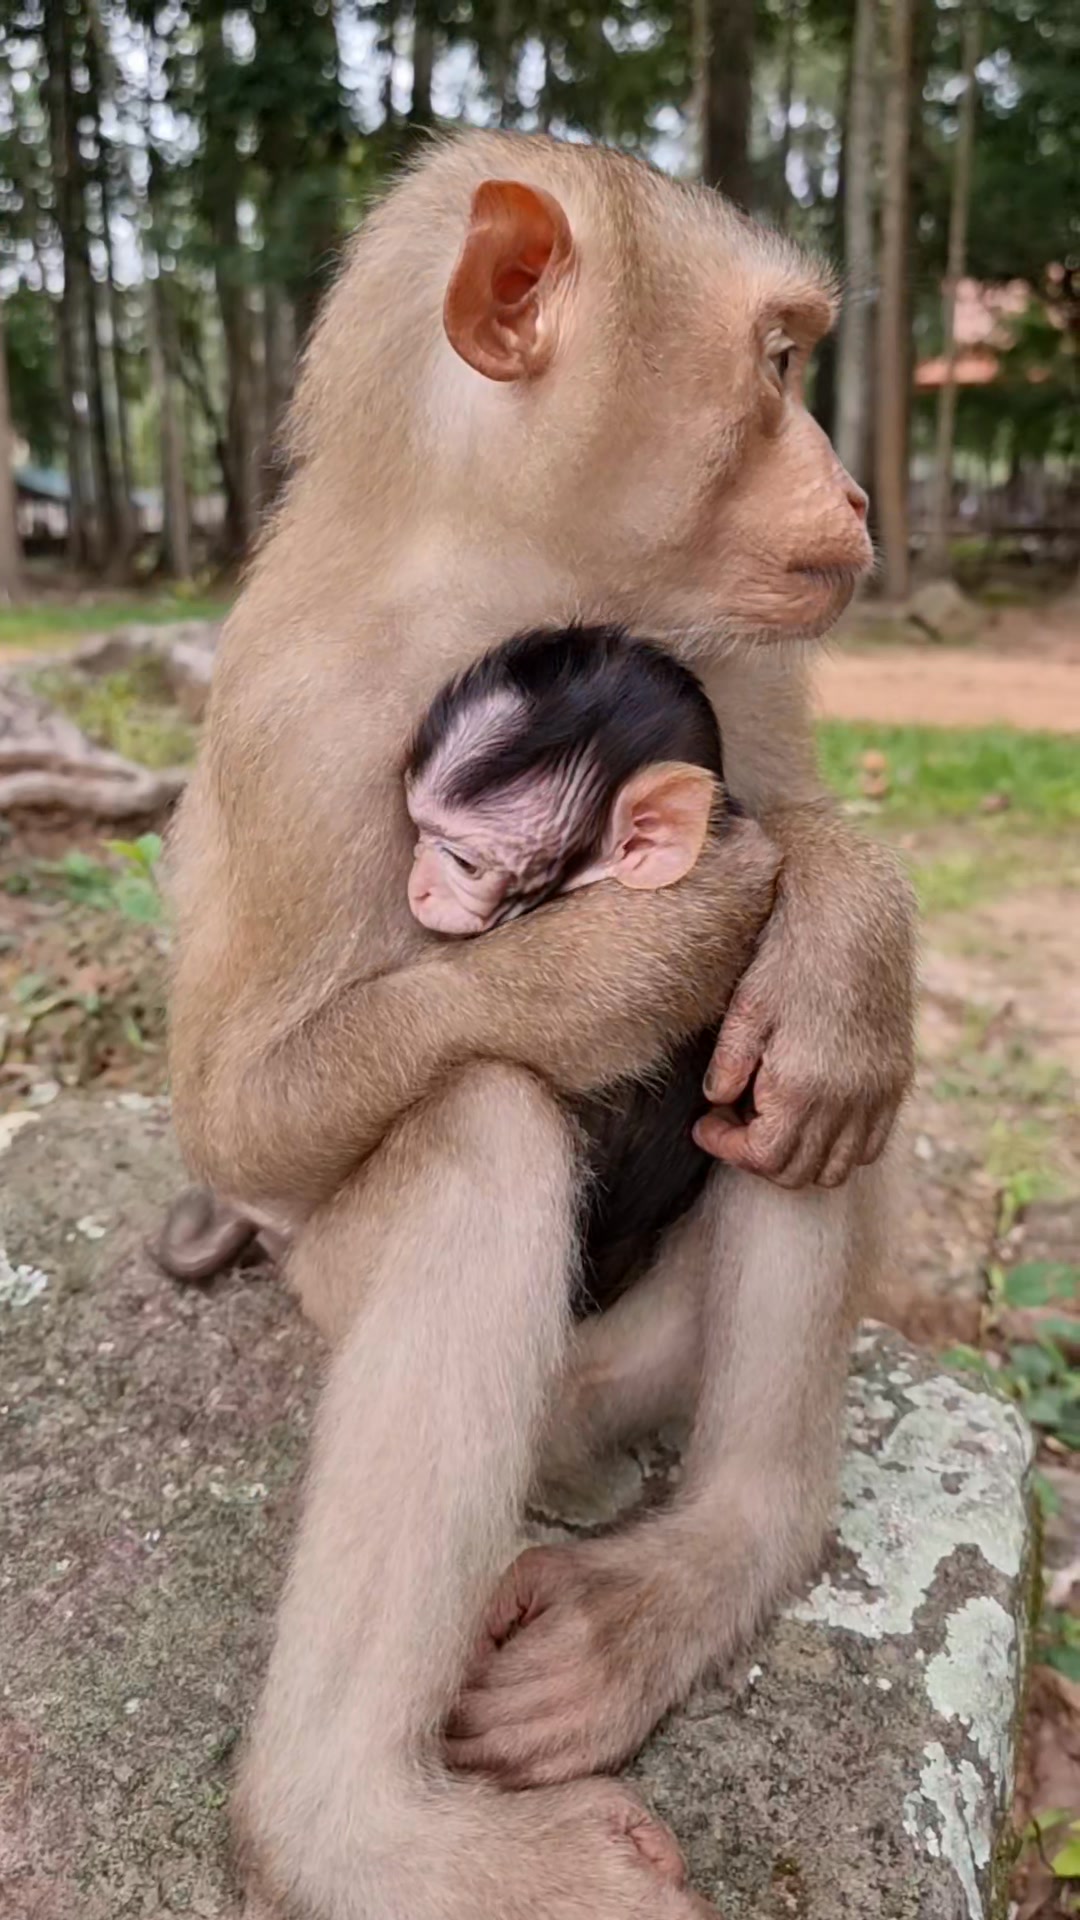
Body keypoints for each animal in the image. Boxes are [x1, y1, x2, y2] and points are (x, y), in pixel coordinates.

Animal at [166, 133, 915, 1920]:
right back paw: (349, 1831)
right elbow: (237, 1104)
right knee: (475, 1133)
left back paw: (714, 1551)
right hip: (366, 1300)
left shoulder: (729, 651)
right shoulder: (296, 713)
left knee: (802, 1087)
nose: (856, 497)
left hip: (638, 1364)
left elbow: (778, 863)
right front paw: (622, 966)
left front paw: (841, 918)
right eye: (776, 366)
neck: (497, 574)